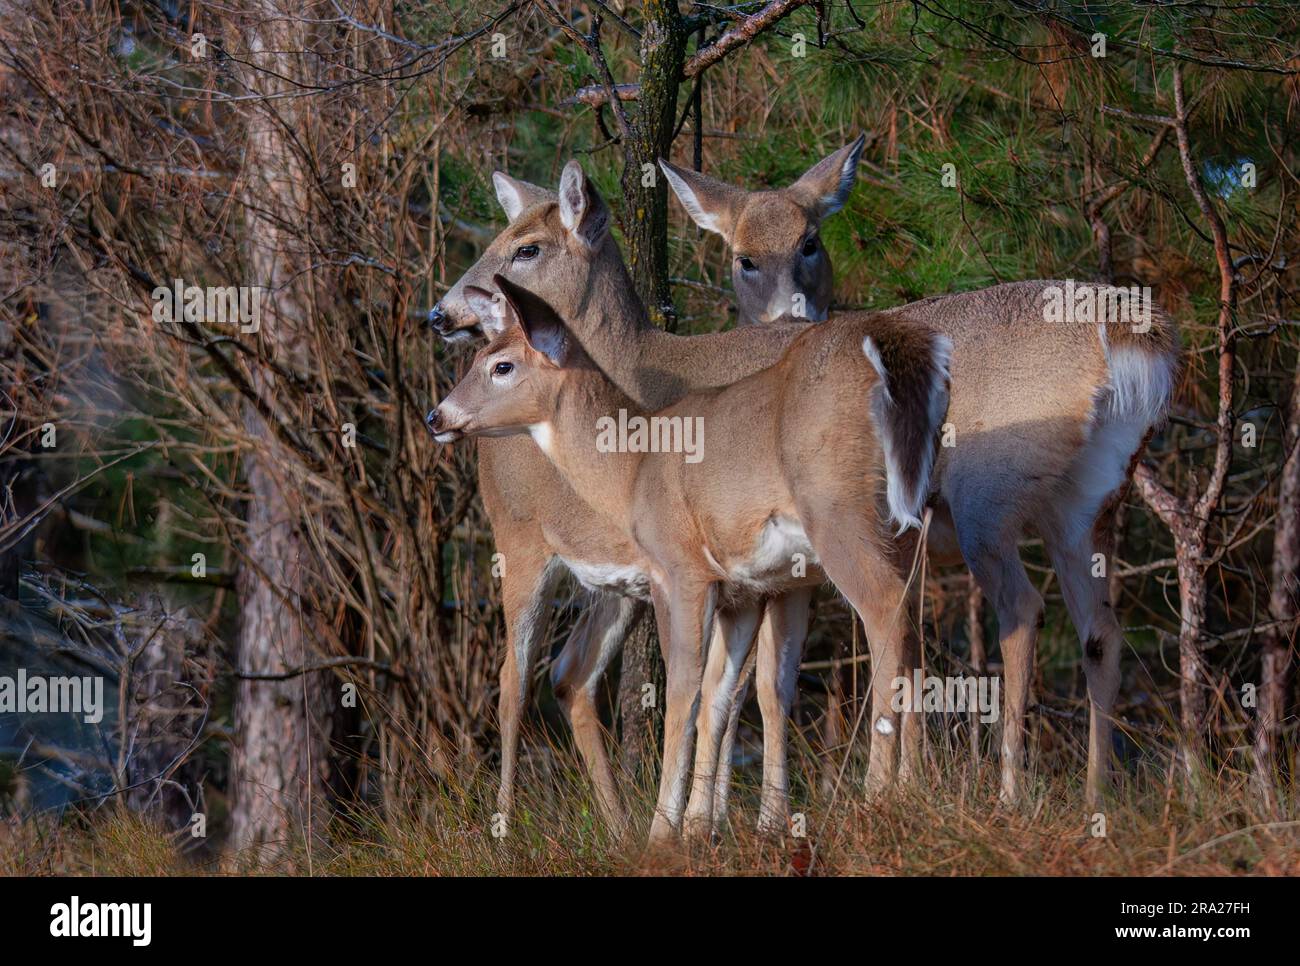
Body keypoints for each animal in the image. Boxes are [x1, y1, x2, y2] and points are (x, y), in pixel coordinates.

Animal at [427, 140, 866, 835]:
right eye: (742, 258)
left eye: (527, 248)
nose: (440, 311)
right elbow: (739, 686)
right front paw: (722, 821)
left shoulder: (758, 569)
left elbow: (752, 687)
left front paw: (732, 821)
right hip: (520, 539)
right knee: (516, 678)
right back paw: (506, 830)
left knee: (565, 673)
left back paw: (615, 825)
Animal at [429, 274, 951, 842]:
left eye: (501, 366)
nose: (436, 415)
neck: (633, 468)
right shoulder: (748, 589)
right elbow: (725, 693)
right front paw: (703, 828)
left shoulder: (679, 569)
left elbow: (683, 692)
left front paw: (665, 831)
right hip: (906, 521)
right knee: (913, 623)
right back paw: (915, 789)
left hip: (838, 509)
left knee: (885, 611)